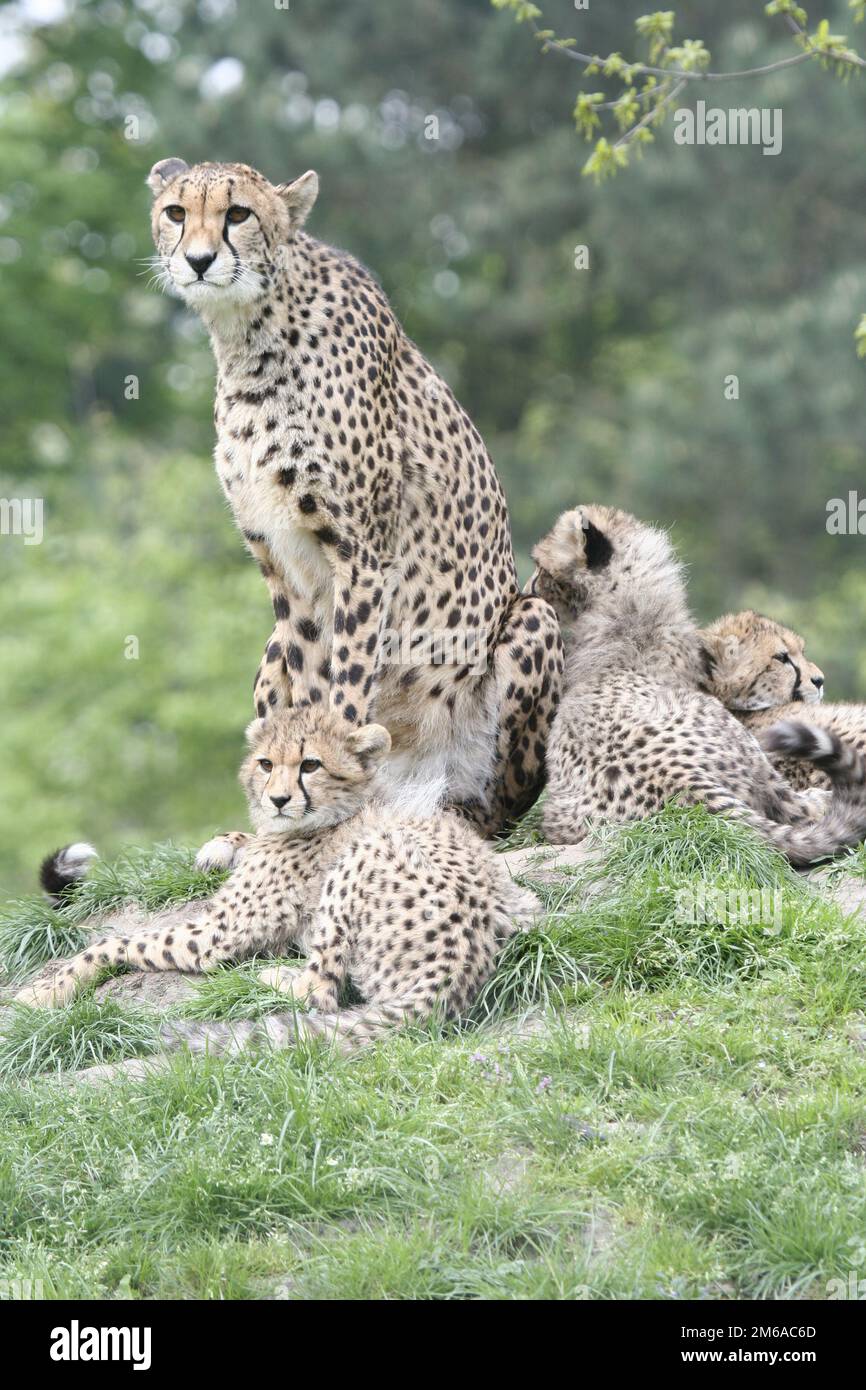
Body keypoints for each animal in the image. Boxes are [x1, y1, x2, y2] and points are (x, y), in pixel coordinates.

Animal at [16, 707, 539, 1056]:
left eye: (311, 764)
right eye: (266, 763)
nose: (280, 800)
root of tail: (460, 971)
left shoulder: (216, 933)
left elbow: (111, 943)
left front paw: (42, 992)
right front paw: (219, 846)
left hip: (363, 858)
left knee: (320, 992)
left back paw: (263, 976)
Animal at [146, 156, 563, 835]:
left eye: (239, 214)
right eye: (176, 213)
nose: (200, 260)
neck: (248, 338)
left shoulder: (361, 554)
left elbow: (347, 678)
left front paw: (334, 771)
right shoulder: (283, 563)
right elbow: (311, 677)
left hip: (531, 620)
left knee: (500, 803)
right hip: (268, 650)